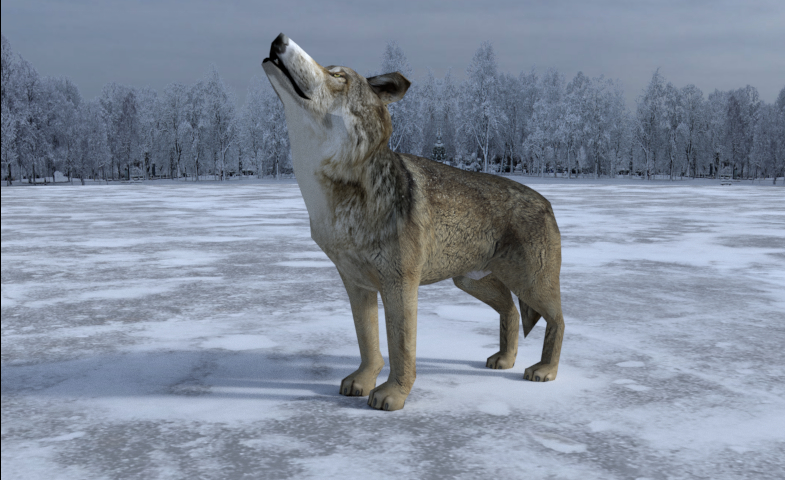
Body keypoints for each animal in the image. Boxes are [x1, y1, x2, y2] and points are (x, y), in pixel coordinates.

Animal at [262, 34, 564, 411]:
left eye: (338, 76)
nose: (278, 39)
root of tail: (547, 201)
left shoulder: (400, 284)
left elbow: (401, 347)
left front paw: (392, 394)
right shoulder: (356, 284)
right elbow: (367, 340)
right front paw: (362, 380)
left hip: (530, 284)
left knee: (559, 319)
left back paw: (545, 370)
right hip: (471, 281)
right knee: (510, 309)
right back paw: (504, 360)